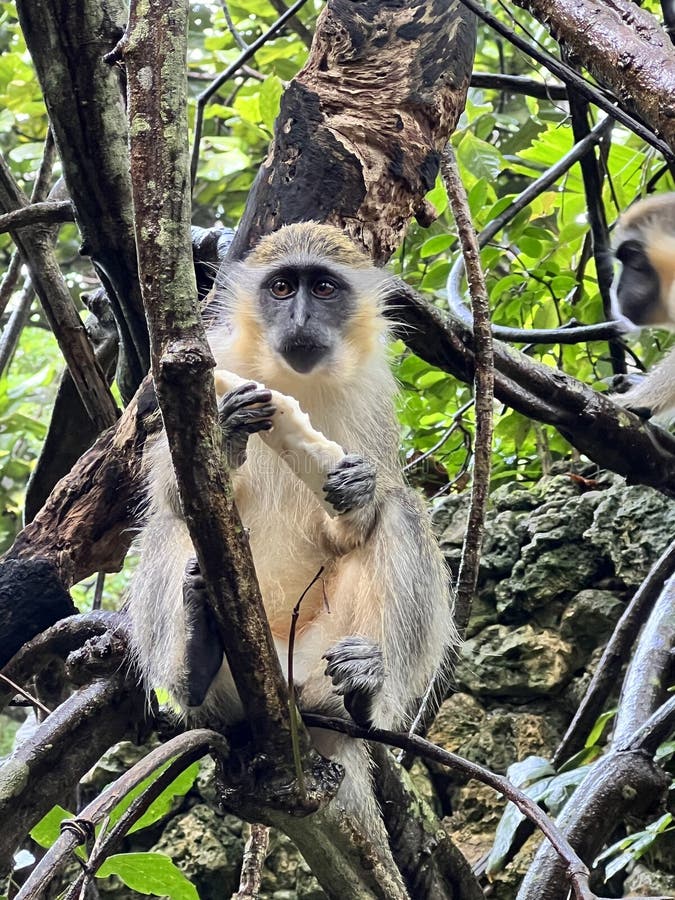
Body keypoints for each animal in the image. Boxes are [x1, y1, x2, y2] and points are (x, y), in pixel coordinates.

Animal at [129, 222, 454, 834]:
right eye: (282, 287)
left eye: (323, 288)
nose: (300, 319)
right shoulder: (205, 367)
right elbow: (170, 493)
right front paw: (228, 428)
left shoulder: (374, 396)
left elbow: (362, 519)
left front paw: (361, 488)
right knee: (174, 526)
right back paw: (195, 659)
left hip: (323, 648)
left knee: (404, 511)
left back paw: (366, 696)